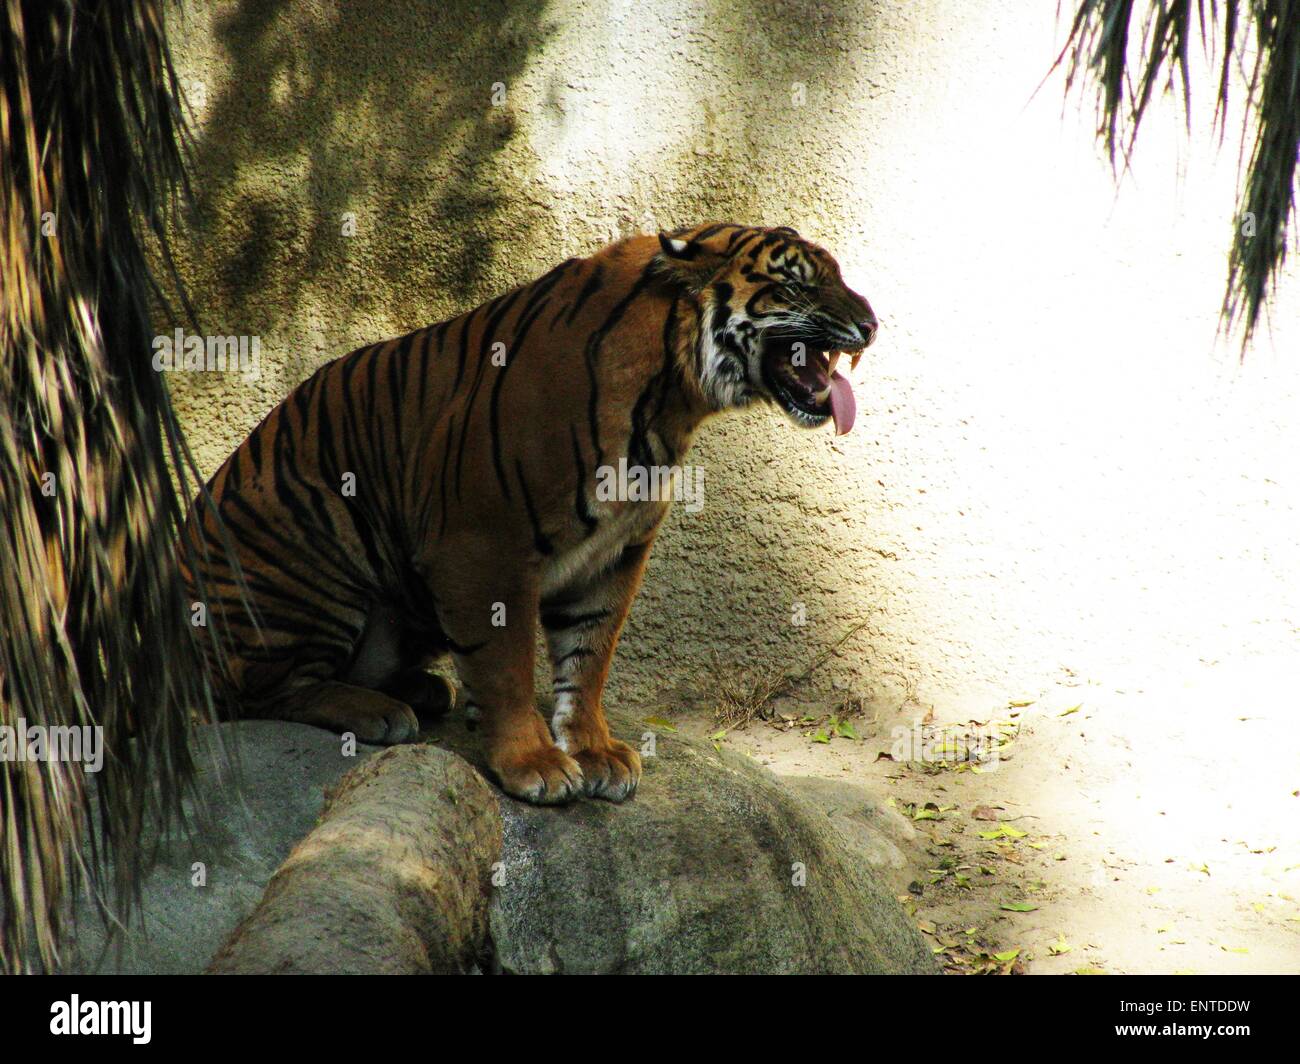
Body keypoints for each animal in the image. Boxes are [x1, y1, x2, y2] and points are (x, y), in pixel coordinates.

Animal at [180, 222, 877, 805]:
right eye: (795, 283)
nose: (872, 325)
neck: (672, 399)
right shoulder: (483, 544)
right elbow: (506, 662)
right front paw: (533, 763)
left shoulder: (616, 551)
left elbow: (590, 654)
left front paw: (594, 751)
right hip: (307, 558)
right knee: (250, 693)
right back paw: (374, 711)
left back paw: (421, 690)